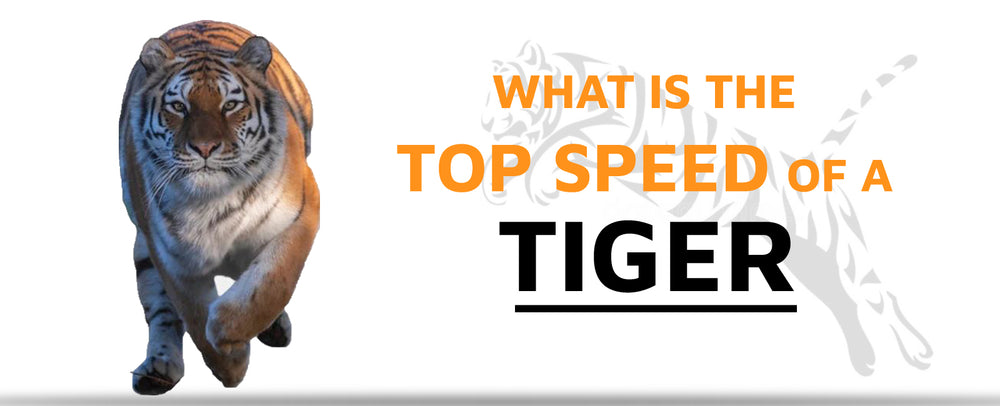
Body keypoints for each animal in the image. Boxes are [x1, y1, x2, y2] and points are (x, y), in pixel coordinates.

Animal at [118, 21, 319, 394]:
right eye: (178, 107)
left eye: (230, 105)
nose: (204, 147)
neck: (213, 201)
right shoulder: (171, 254)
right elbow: (194, 314)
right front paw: (230, 364)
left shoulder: (302, 210)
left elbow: (271, 281)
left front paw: (228, 331)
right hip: (144, 251)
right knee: (161, 313)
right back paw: (158, 369)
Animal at [482, 42, 932, 376]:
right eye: (487, 94)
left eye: (511, 91)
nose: (485, 123)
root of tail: (813, 161)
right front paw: (502, 185)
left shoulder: (614, 130)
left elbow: (564, 141)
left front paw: (539, 183)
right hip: (807, 262)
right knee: (843, 302)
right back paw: (864, 362)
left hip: (845, 249)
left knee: (879, 295)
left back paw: (918, 353)